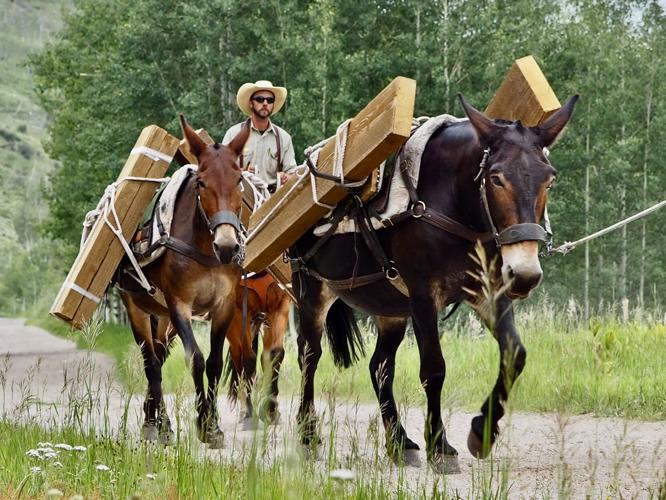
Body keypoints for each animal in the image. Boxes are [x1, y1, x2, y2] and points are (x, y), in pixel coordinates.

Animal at [116, 115, 249, 447]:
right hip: (137, 309)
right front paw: (203, 423)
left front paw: (213, 424)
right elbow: (197, 360)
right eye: (202, 182)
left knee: (160, 356)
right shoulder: (179, 305)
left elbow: (214, 362)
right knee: (151, 363)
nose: (227, 246)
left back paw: (155, 419)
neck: (203, 249)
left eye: (239, 180)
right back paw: (158, 425)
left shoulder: (224, 306)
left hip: (164, 319)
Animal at [223, 272, 291, 425]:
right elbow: (248, 359)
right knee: (237, 356)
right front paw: (249, 409)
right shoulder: (240, 310)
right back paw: (244, 408)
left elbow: (275, 354)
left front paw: (271, 408)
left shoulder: (279, 304)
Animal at [290, 94, 578, 466]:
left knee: (379, 367)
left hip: (390, 311)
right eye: (496, 178)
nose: (526, 275)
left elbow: (514, 354)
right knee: (309, 356)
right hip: (312, 291)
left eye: (549, 180)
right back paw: (308, 435)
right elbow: (434, 369)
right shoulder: (424, 297)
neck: (453, 204)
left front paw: (482, 432)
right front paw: (440, 445)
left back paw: (399, 441)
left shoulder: (488, 291)